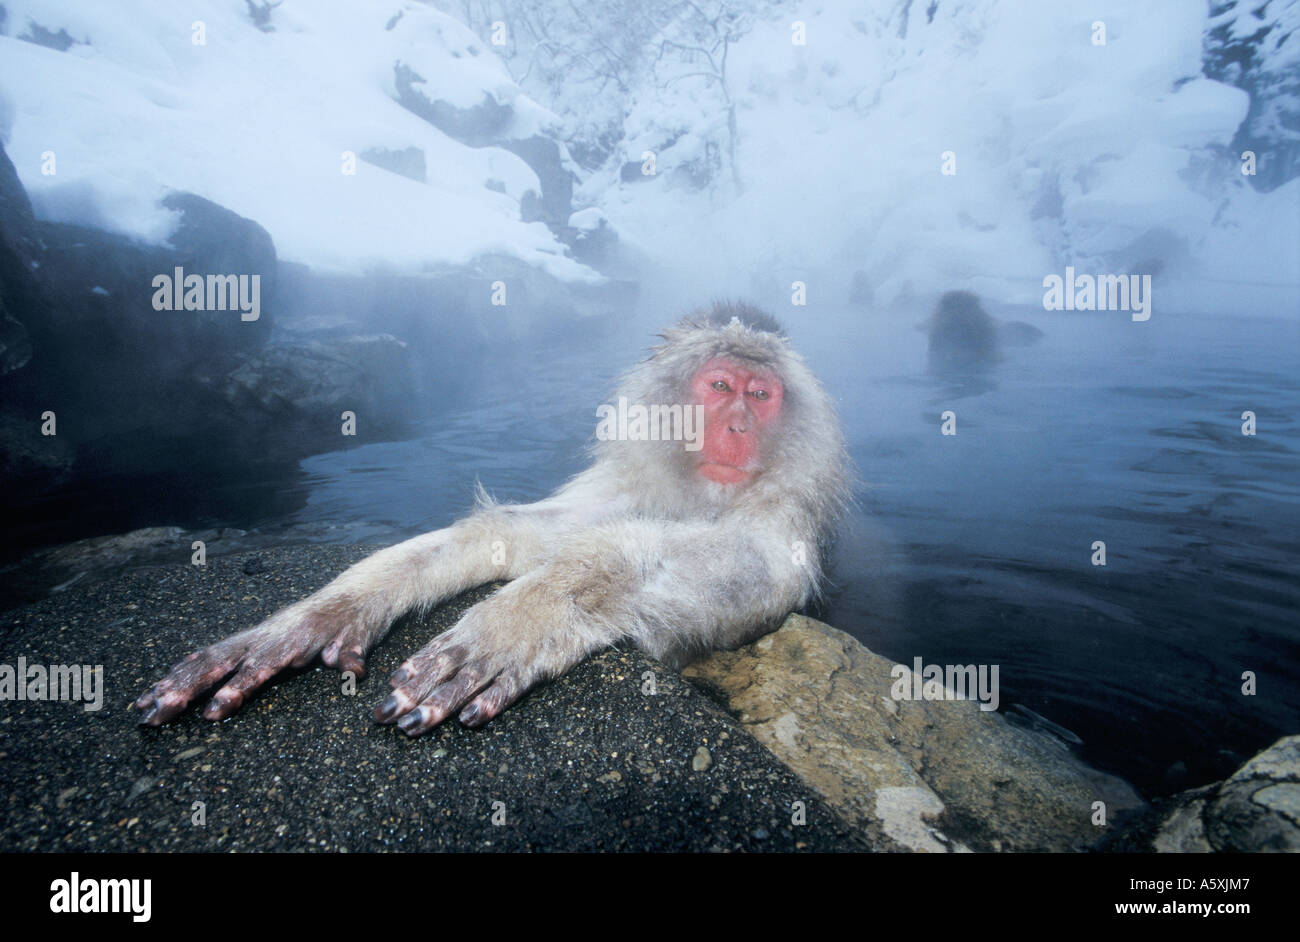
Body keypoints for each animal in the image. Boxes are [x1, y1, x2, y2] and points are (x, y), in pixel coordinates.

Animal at [135, 302, 849, 735]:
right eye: (722, 387)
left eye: (762, 394)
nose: (739, 427)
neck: (699, 493)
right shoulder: (629, 482)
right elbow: (516, 532)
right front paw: (331, 611)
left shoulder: (782, 511)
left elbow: (757, 573)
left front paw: (528, 617)